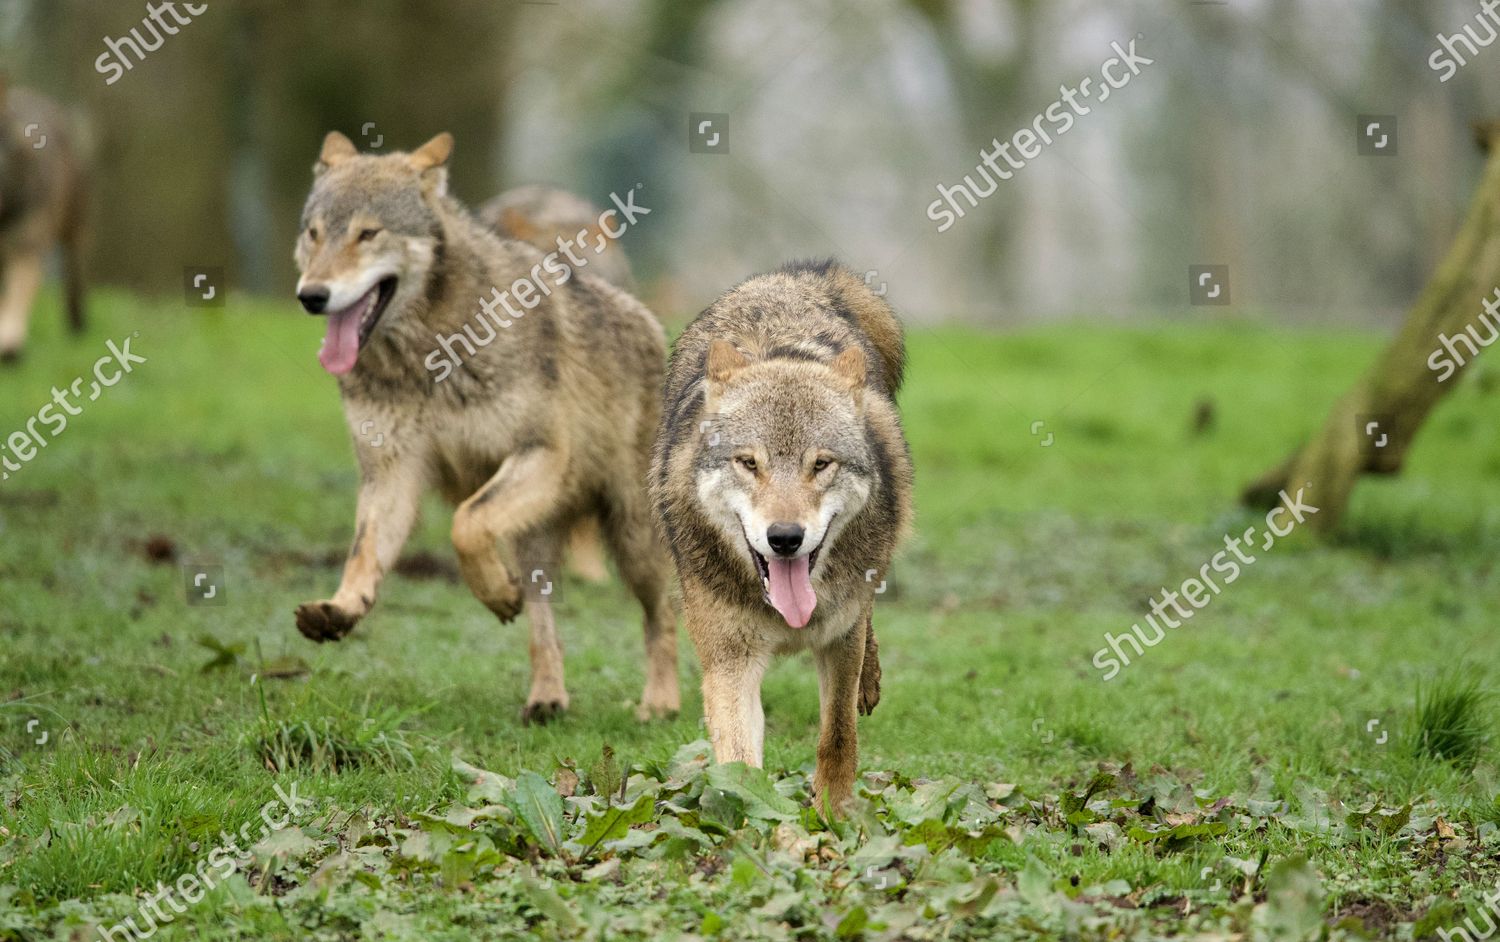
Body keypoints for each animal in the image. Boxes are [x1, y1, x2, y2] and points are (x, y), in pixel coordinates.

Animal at [291, 131, 678, 724]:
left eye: (367, 233)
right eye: (314, 234)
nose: (311, 295)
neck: (425, 358)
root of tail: (652, 323)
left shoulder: (539, 453)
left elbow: (465, 526)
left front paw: (494, 592)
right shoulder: (390, 475)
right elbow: (364, 554)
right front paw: (340, 609)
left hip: (633, 537)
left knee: (664, 616)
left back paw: (660, 703)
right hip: (534, 539)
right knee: (546, 626)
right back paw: (547, 698)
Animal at [651, 261, 913, 810]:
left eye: (821, 464)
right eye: (749, 463)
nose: (786, 537)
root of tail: (801, 274)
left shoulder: (839, 640)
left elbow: (838, 737)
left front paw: (834, 815)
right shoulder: (728, 662)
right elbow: (737, 759)